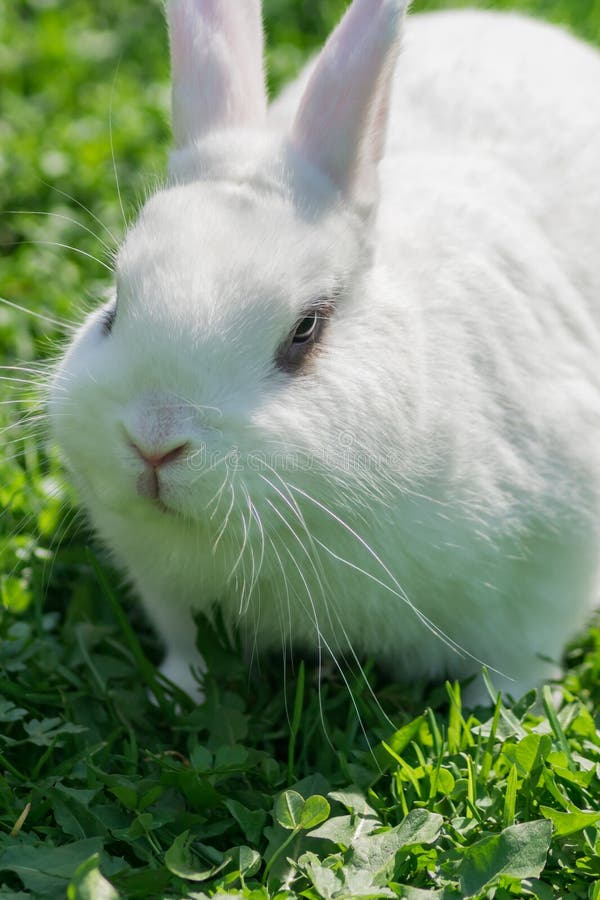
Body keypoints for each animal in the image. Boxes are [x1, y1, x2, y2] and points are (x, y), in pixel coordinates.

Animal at [49, 0, 600, 706]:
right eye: (115, 306)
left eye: (306, 330)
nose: (154, 442)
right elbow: (186, 648)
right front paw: (180, 692)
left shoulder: (548, 571)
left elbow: (515, 667)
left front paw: (494, 713)